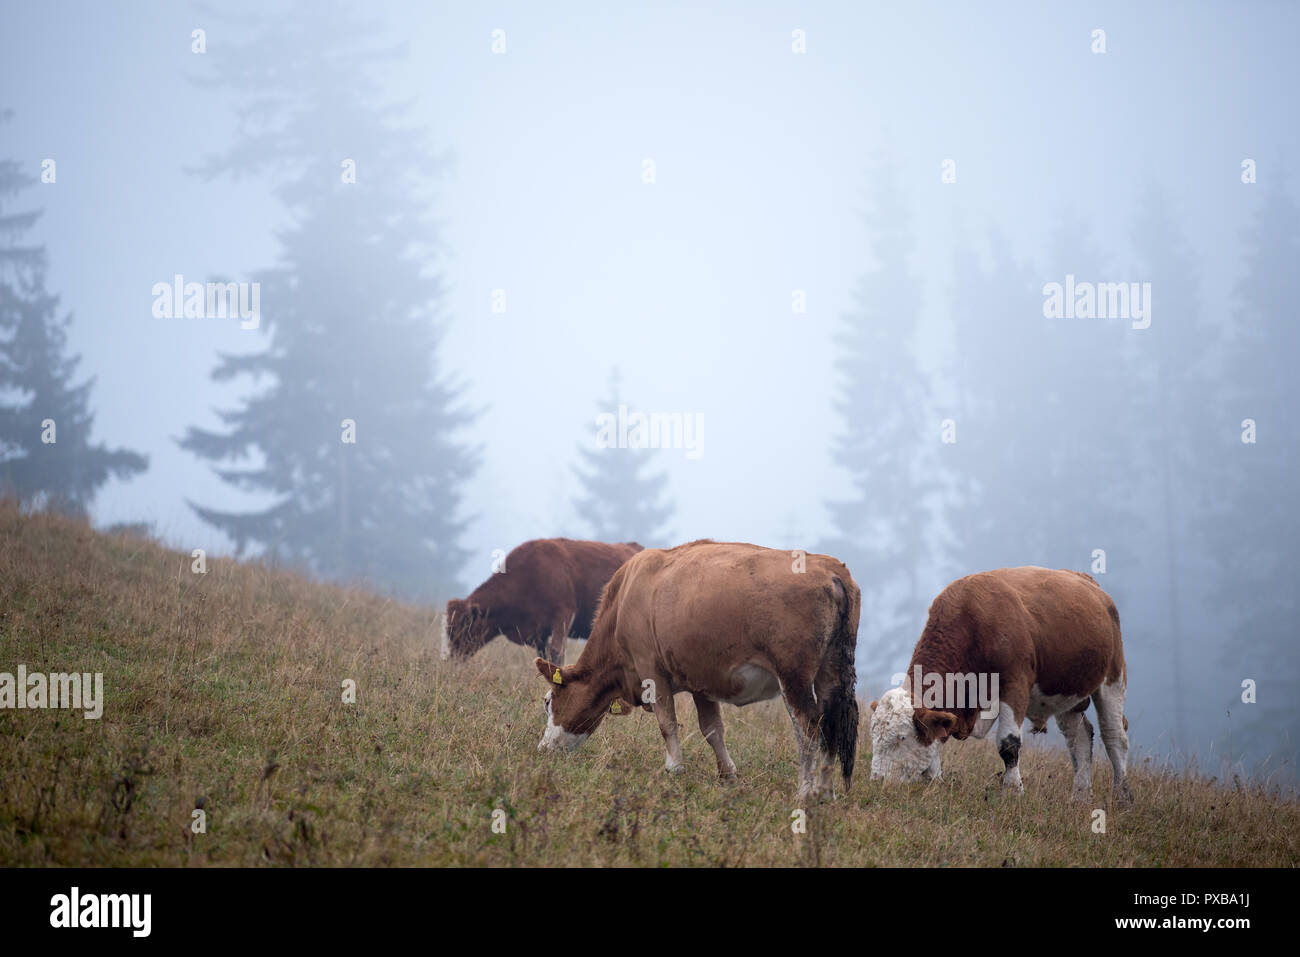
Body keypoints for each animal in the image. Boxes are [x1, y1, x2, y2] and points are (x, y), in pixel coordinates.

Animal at [533, 540, 861, 801]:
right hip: (830, 674)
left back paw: (805, 792)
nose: (543, 749)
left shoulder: (652, 670)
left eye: (548, 702)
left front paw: (674, 768)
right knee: (831, 725)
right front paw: (727, 774)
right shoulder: (701, 682)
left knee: (809, 728)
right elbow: (712, 729)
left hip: (794, 677)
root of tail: (829, 569)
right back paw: (825, 791)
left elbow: (667, 722)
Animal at [869, 566, 1132, 806]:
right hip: (1068, 693)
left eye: (901, 737)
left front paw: (1013, 792)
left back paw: (1122, 798)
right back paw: (1080, 798)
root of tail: (1089, 582)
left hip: (1113, 677)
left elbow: (1008, 744)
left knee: (1114, 737)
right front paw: (935, 780)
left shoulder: (1014, 685)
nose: (876, 780)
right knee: (1080, 738)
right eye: (873, 736)